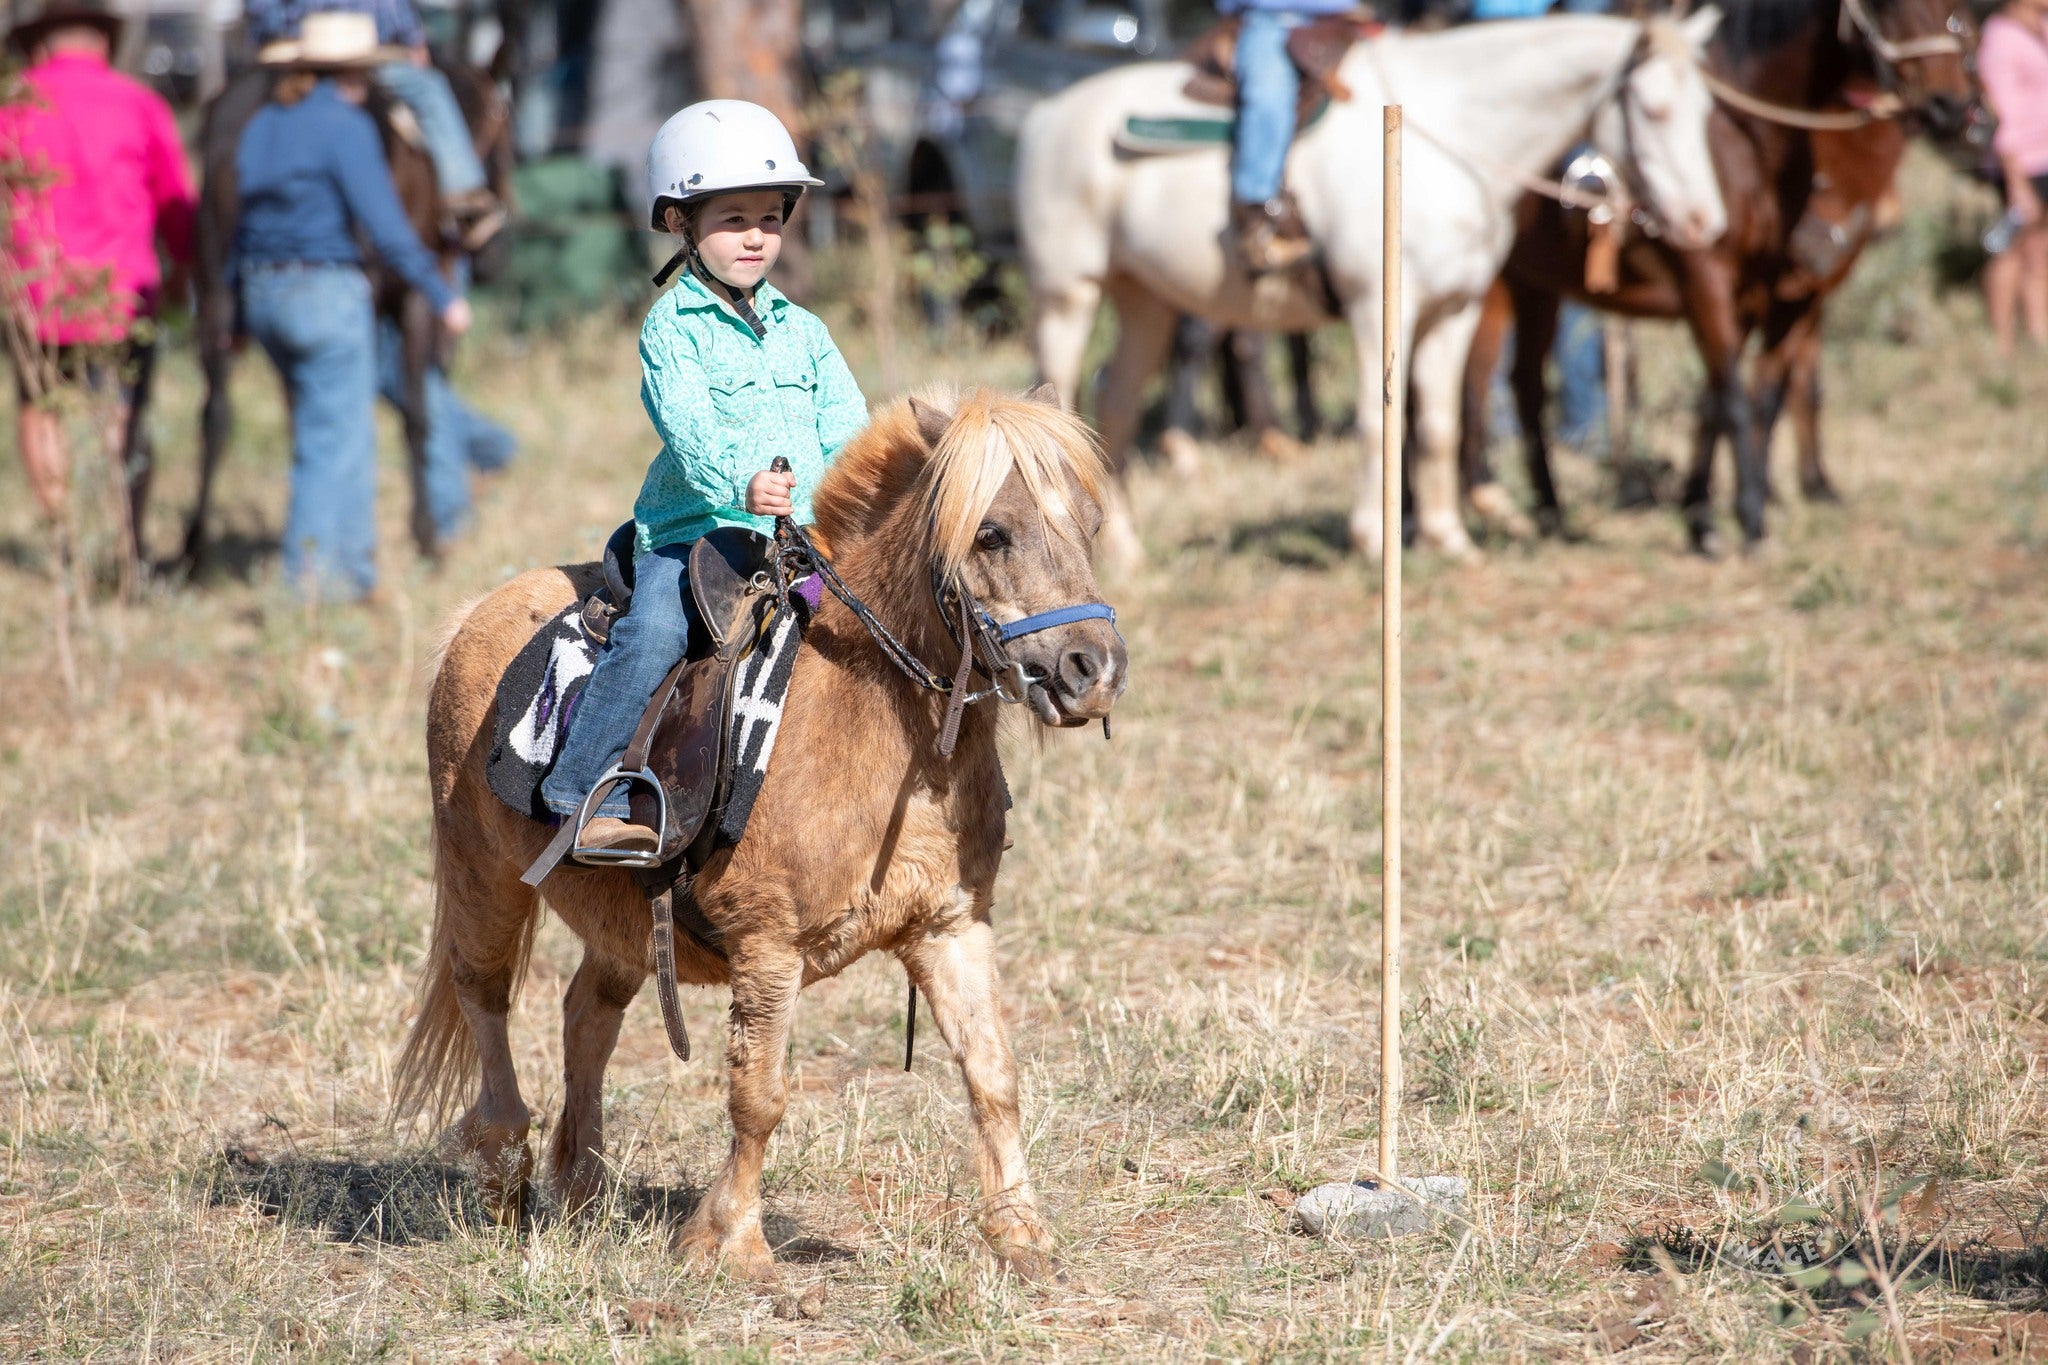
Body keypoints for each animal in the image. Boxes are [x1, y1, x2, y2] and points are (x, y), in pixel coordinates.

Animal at [393, 388, 1126, 1277]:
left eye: (1090, 522)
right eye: (992, 532)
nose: (1095, 668)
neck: (869, 716)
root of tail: (476, 615)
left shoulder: (950, 926)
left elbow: (994, 1074)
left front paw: (1020, 1231)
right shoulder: (768, 947)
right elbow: (760, 1097)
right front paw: (732, 1240)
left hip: (624, 921)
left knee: (585, 1016)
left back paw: (585, 1187)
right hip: (482, 875)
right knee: (485, 997)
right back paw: (506, 1171)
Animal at [1017, 11, 1728, 567]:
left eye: (1706, 113)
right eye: (1655, 109)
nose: (1706, 224)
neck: (1455, 134)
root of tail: (1044, 113)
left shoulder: (1457, 309)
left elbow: (1439, 423)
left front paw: (1448, 537)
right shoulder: (1375, 307)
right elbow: (1374, 422)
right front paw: (1371, 538)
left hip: (1145, 300)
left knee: (1115, 407)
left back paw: (1125, 549)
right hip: (1067, 296)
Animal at [1457, 0, 1975, 556]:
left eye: (1956, 12)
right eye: (1884, 6)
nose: (1948, 106)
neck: (1746, 142)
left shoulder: (1763, 293)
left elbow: (1738, 398)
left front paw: (1704, 517)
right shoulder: (1715, 280)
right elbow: (1733, 395)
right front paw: (1750, 520)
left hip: (1535, 286)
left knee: (1524, 385)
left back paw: (1550, 514)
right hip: (1490, 288)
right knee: (1469, 385)